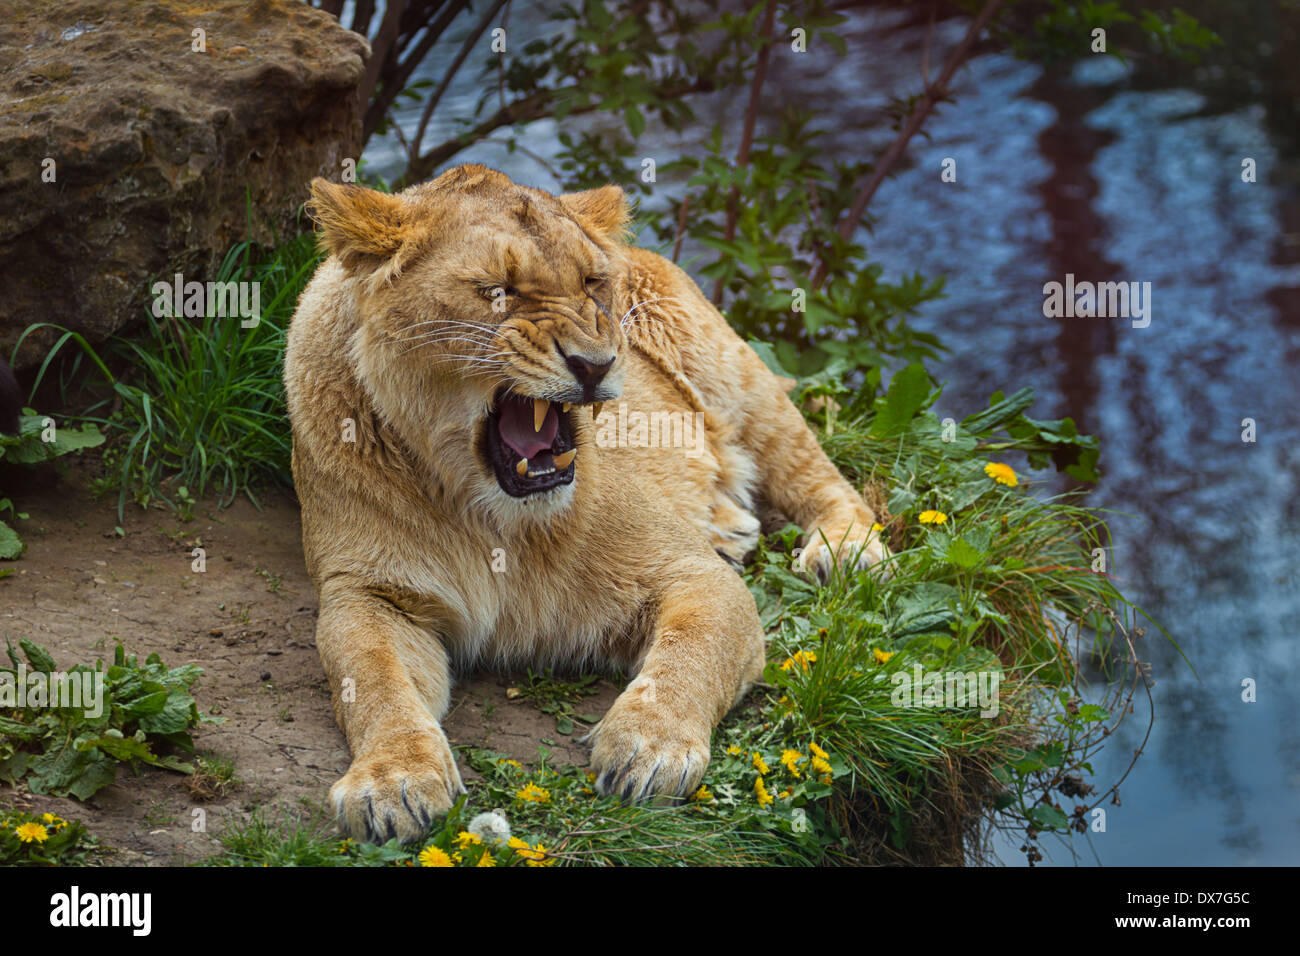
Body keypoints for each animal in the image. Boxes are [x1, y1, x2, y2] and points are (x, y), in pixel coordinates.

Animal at [284, 164, 886, 843]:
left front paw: (649, 748)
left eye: (593, 284)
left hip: (736, 378)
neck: (487, 510)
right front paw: (393, 781)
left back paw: (843, 549)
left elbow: (690, 654)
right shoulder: (368, 592)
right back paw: (729, 525)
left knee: (820, 472)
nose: (596, 365)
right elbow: (374, 680)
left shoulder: (697, 577)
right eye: (497, 291)